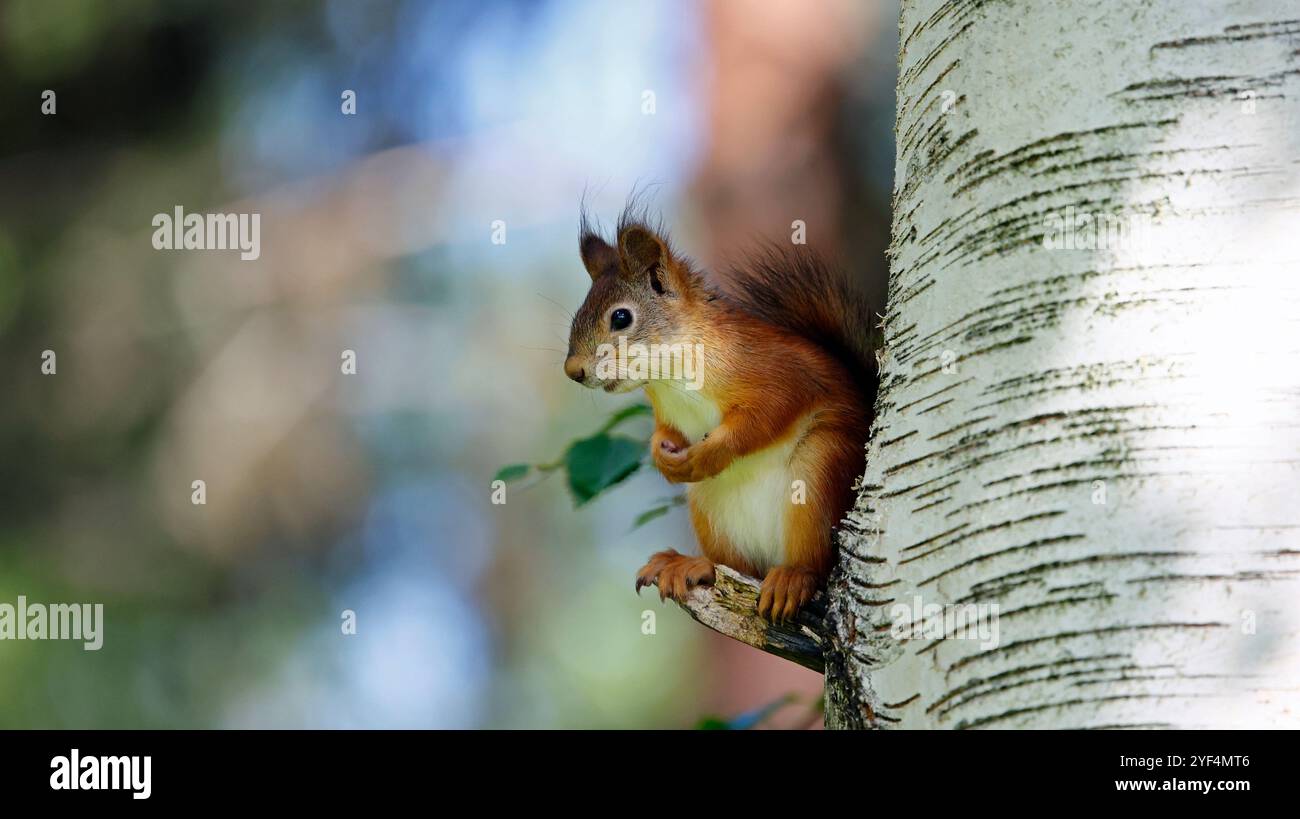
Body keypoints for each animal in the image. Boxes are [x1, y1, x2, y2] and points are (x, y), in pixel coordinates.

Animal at [564, 207, 877, 622]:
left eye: (620, 318)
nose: (573, 370)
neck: (672, 377)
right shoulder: (668, 415)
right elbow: (663, 432)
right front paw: (662, 456)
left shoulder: (780, 376)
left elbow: (764, 417)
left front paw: (709, 453)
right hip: (710, 508)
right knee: (738, 570)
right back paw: (693, 565)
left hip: (819, 469)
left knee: (815, 564)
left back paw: (793, 577)